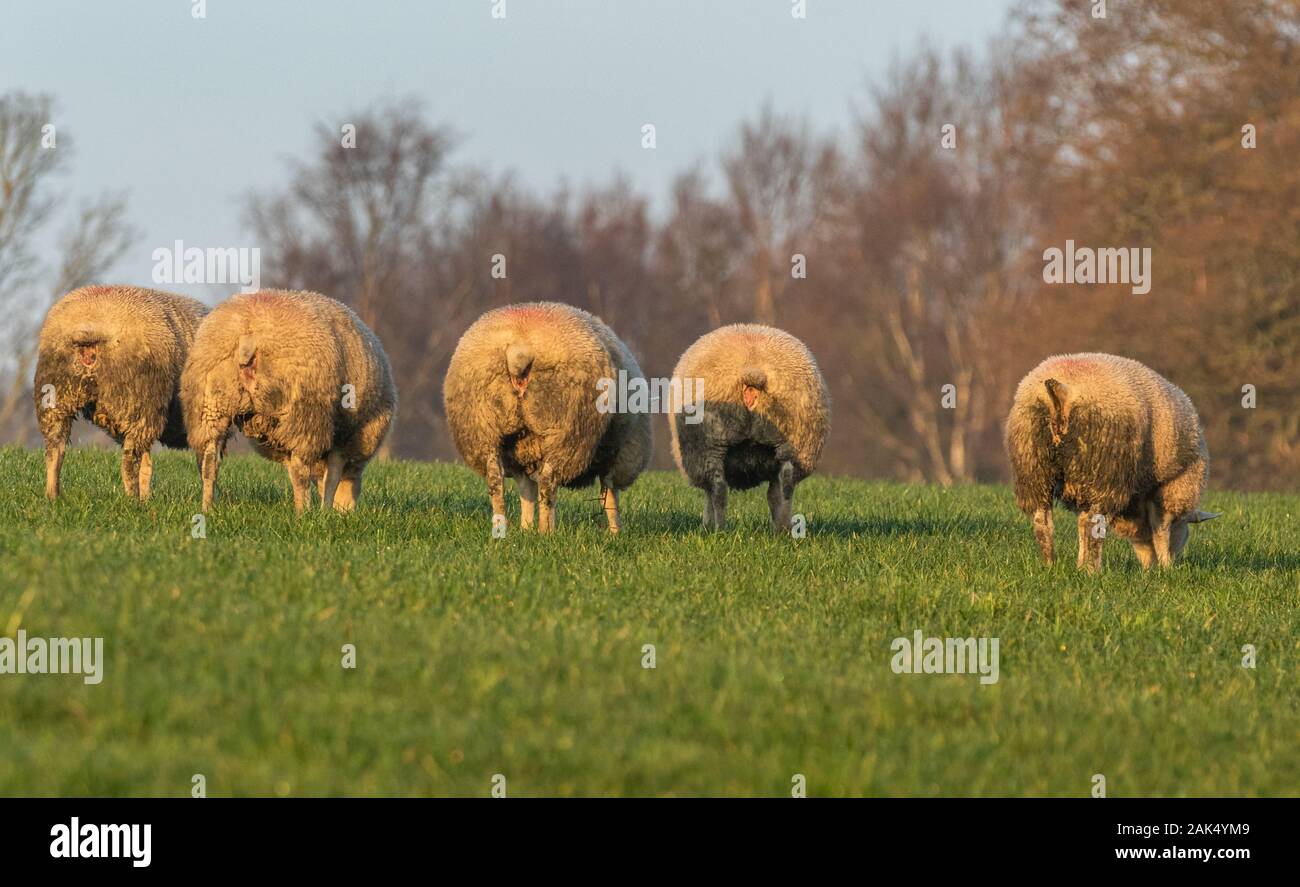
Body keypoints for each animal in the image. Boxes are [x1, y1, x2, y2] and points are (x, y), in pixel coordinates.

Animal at [33, 285, 208, 500]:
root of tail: (88, 330)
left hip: (56, 399)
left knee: (55, 452)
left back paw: (53, 496)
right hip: (140, 404)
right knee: (129, 463)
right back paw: (133, 499)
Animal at [179, 289, 397, 513]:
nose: (346, 514)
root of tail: (248, 335)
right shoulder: (345, 438)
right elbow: (331, 478)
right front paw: (325, 511)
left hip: (210, 406)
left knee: (209, 463)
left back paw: (207, 507)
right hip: (303, 413)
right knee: (301, 471)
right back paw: (304, 512)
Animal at [443, 301, 652, 533]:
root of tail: (519, 349)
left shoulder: (523, 456)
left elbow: (526, 491)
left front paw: (525, 528)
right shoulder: (618, 454)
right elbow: (609, 495)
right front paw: (616, 532)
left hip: (483, 430)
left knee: (496, 481)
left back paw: (501, 526)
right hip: (568, 431)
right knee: (548, 482)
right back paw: (547, 531)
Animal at [668, 324, 830, 534]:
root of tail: (753, 372)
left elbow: (708, 495)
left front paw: (706, 526)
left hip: (708, 444)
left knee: (718, 489)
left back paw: (719, 530)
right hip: (793, 440)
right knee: (784, 483)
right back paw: (783, 529)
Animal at [1004, 352, 1219, 571]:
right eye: (1186, 533)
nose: (1150, 567)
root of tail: (1062, 389)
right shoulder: (1170, 489)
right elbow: (1161, 530)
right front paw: (1166, 567)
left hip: (1033, 463)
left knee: (1044, 521)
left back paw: (1051, 565)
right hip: (1104, 467)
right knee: (1094, 523)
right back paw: (1093, 571)